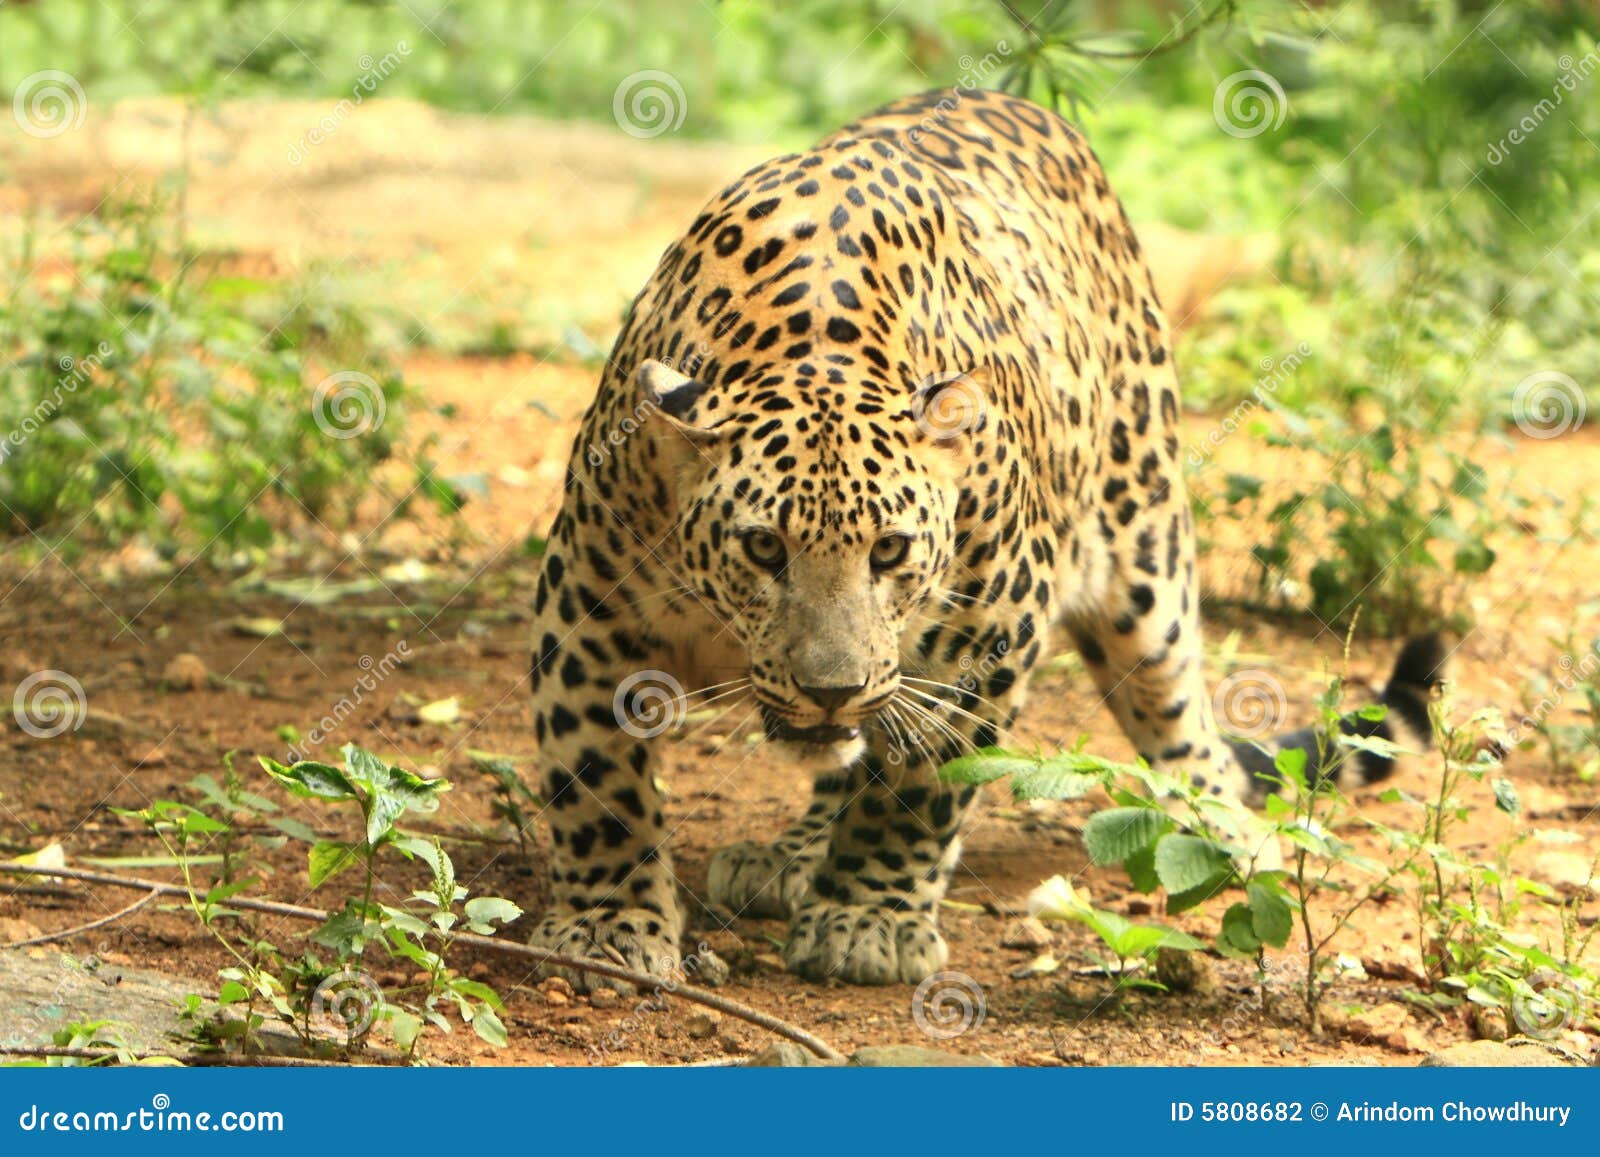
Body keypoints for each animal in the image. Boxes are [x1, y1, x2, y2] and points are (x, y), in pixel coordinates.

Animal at [525, 87, 1446, 989]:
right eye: (761, 549)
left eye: (890, 551)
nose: (831, 688)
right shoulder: (587, 606)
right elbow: (598, 781)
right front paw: (611, 925)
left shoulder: (990, 627)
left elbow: (920, 787)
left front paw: (868, 921)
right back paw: (792, 853)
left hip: (1145, 554)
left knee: (1181, 717)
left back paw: (1229, 837)